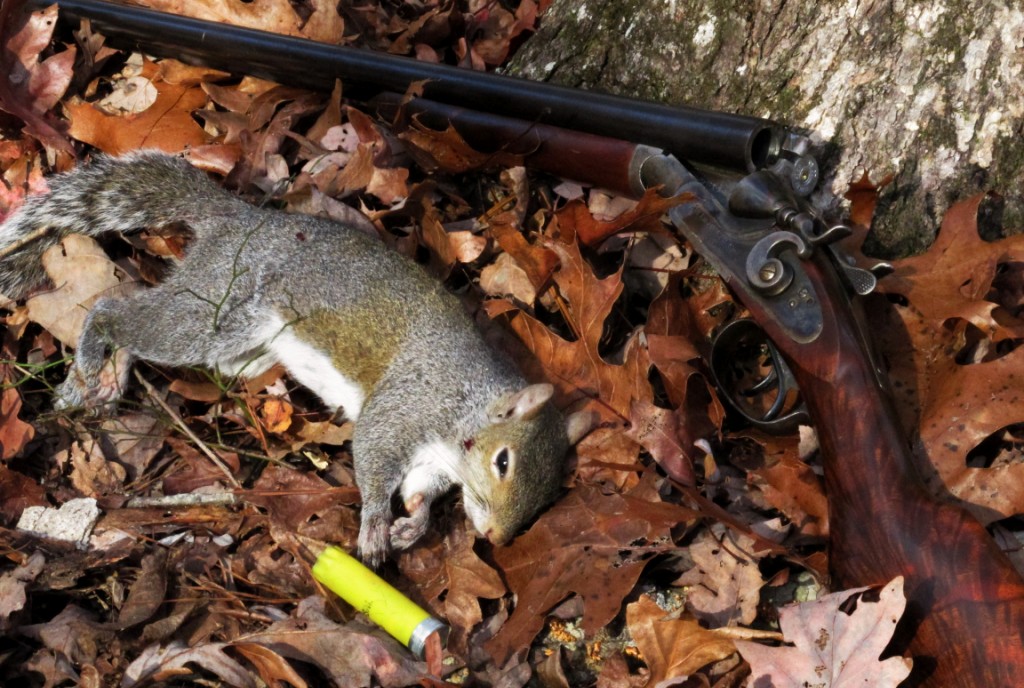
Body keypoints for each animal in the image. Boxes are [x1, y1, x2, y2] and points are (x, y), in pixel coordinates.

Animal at [0, 150, 590, 567]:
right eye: (504, 462)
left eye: (548, 494)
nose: (495, 536)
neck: (469, 402)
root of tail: (241, 220)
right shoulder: (408, 405)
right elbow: (373, 455)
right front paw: (375, 527)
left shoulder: (432, 465)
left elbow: (419, 495)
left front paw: (412, 525)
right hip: (221, 309)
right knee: (116, 313)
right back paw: (89, 363)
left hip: (241, 345)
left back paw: (114, 375)